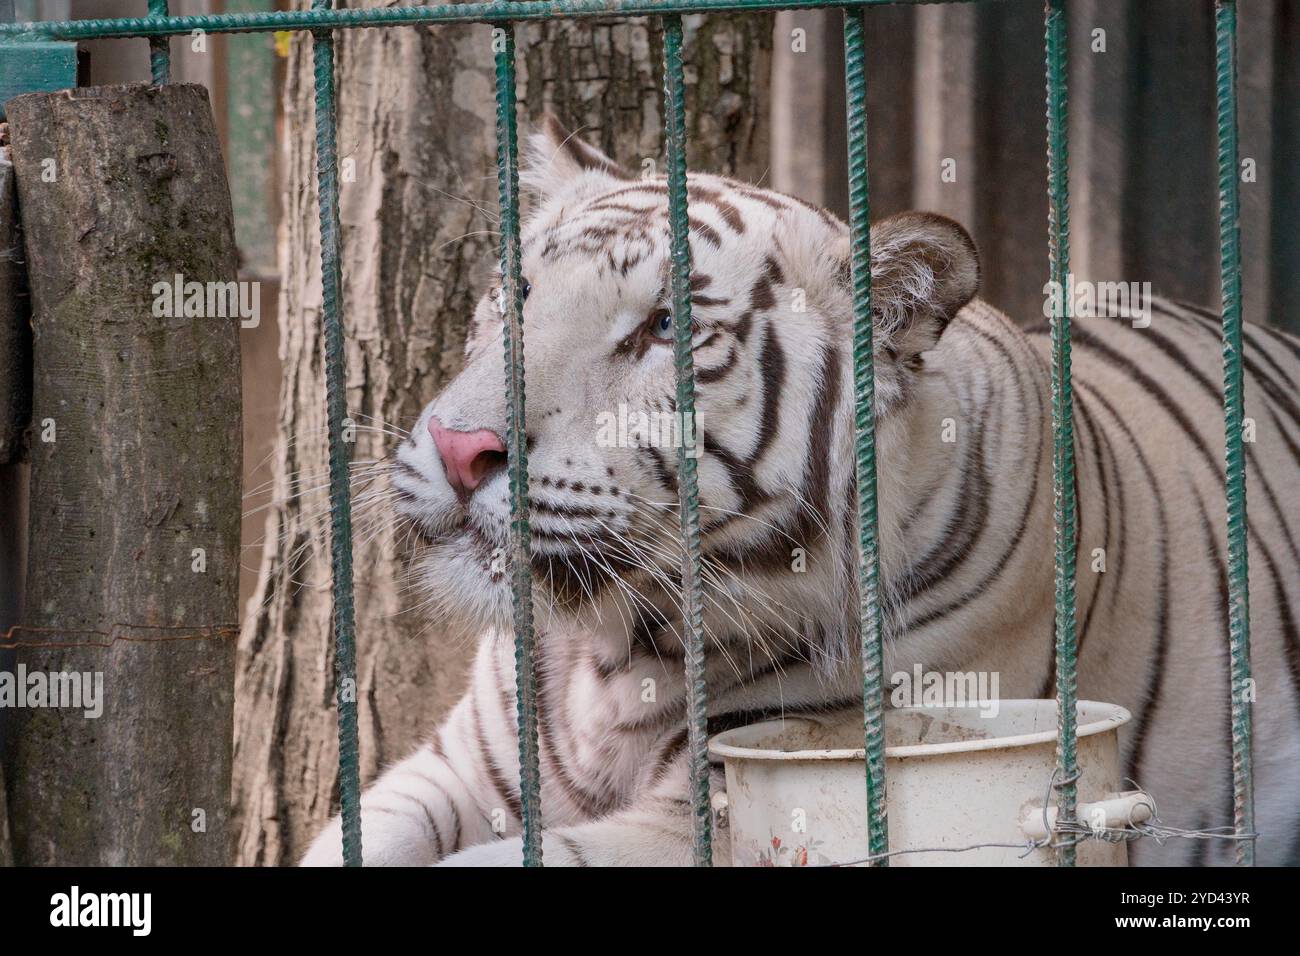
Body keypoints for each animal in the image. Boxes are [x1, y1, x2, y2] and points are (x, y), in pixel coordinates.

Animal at [302, 115, 1300, 867]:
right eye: (517, 291)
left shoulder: (718, 801)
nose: (460, 448)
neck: (608, 657)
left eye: (663, 329)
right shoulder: (456, 768)